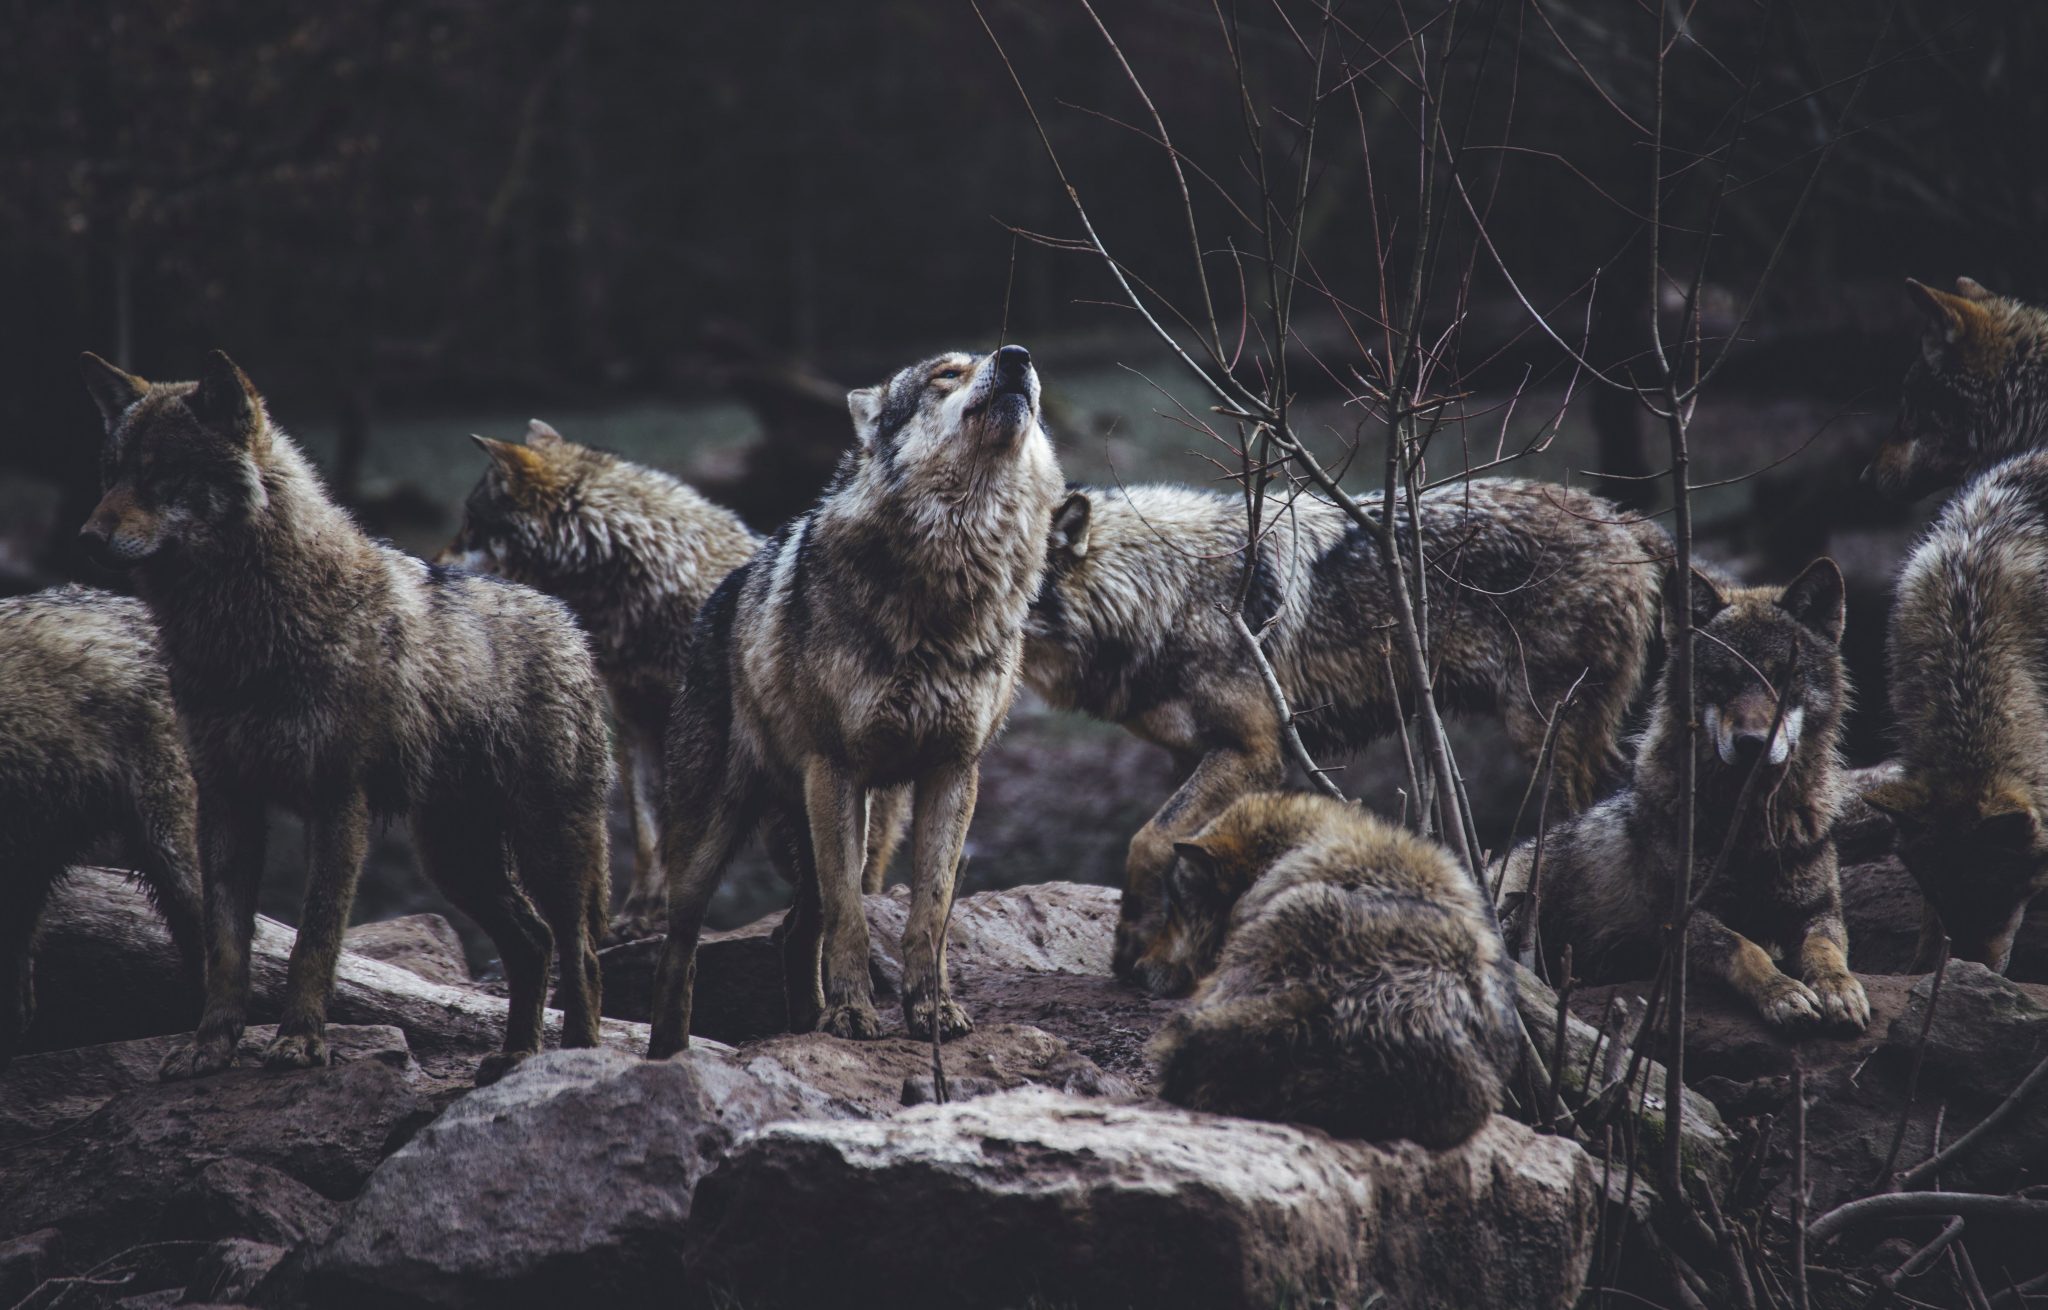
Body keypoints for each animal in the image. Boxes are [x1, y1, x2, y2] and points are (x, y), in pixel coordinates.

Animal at [79, 351, 613, 1084]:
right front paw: (210, 1045)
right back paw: (515, 1058)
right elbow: (225, 948)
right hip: (454, 859)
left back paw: (574, 1059)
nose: (87, 537)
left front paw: (300, 1041)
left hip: (545, 845)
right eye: (111, 475)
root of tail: (568, 621)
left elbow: (315, 938)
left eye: (162, 474)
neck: (243, 633)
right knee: (533, 941)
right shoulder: (225, 802)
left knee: (578, 949)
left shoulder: (339, 802)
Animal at [438, 420, 905, 941]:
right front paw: (639, 914)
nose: (433, 564)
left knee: (862, 876)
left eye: (470, 526)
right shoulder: (635, 724)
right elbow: (647, 837)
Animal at [646, 344, 1065, 1056]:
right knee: (681, 952)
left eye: (1002, 358)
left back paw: (802, 1024)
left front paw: (932, 1013)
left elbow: (930, 913)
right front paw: (849, 1017)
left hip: (845, 822)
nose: (1016, 357)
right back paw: (669, 1054)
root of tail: (721, 593)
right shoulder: (837, 769)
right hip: (715, 839)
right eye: (945, 374)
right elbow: (852, 919)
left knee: (791, 932)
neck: (951, 577)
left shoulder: (954, 771)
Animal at [1026, 478, 1667, 982]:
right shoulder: (1193, 757)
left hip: (1544, 736)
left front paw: (1133, 945)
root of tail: (1620, 516)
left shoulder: (1253, 751)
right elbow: (1179, 852)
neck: (1164, 592)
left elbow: (1148, 840)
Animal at [1497, 558, 1870, 1030]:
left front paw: (1840, 989)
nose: (1752, 743)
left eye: (1782, 677)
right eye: (1721, 679)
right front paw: (1783, 993)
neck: (1748, 826)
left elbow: (1824, 950)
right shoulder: (1681, 921)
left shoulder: (1819, 911)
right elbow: (1746, 948)